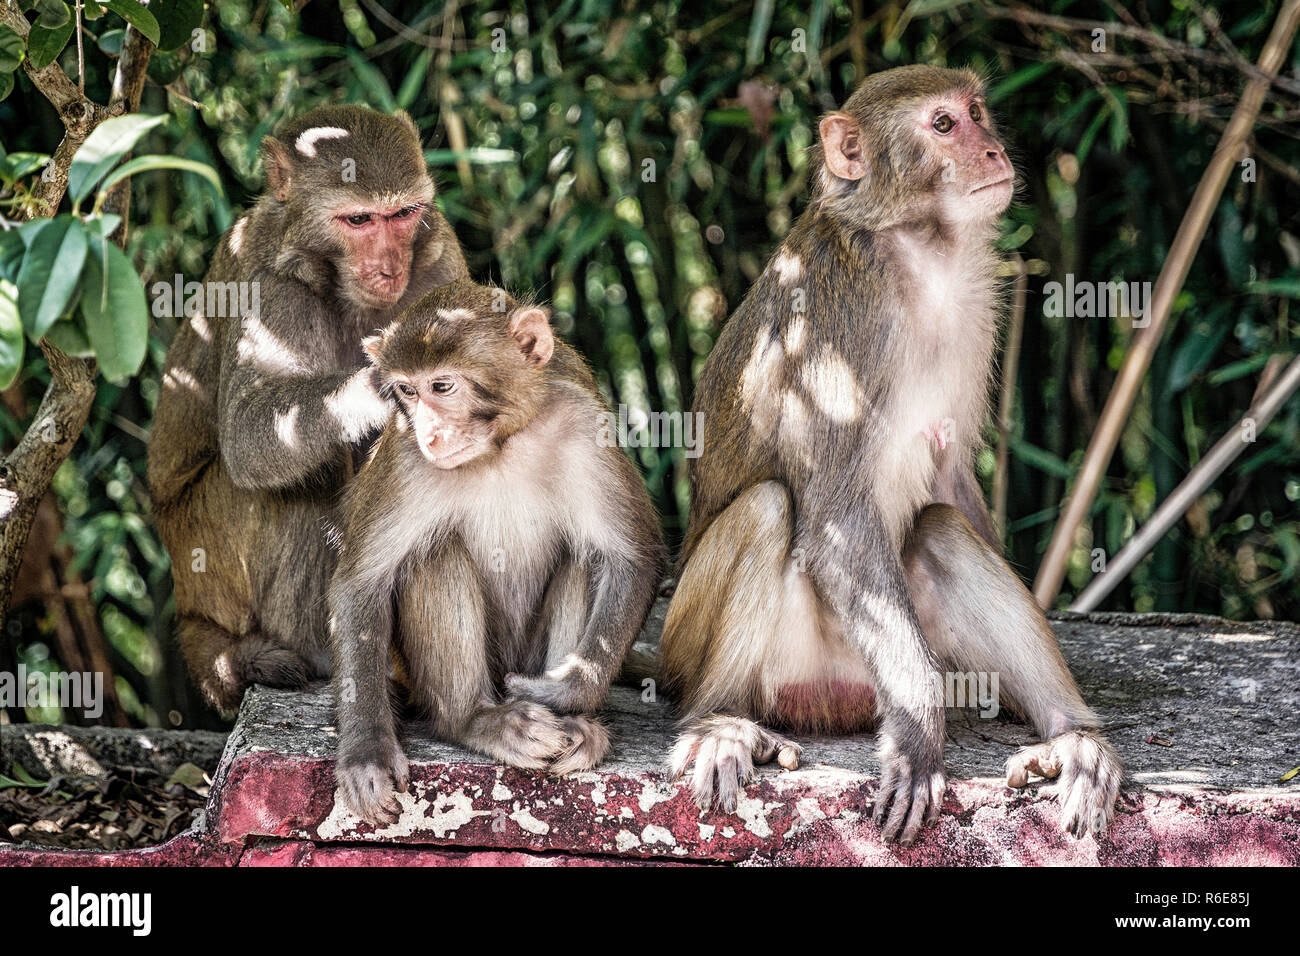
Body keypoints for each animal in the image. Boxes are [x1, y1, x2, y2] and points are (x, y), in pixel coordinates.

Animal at [147, 105, 468, 712]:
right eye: (359, 220)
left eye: (403, 214)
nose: (390, 269)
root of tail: (188, 606)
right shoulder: (271, 290)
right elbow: (250, 435)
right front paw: (379, 386)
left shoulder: (440, 257)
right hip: (206, 552)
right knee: (296, 480)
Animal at [329, 280, 664, 825]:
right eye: (407, 391)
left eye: (442, 386)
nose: (430, 433)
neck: (501, 445)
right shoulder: (405, 456)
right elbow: (360, 583)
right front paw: (366, 753)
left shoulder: (583, 422)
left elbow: (631, 559)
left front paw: (566, 691)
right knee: (434, 553)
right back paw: (477, 720)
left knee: (583, 558)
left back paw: (576, 725)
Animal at [660, 65, 1123, 844]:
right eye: (942, 126)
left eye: (976, 111)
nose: (994, 151)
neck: (914, 247)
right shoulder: (836, 323)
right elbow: (838, 519)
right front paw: (917, 734)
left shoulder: (977, 310)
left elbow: (951, 481)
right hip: (701, 648)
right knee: (767, 508)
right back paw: (717, 723)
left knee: (939, 529)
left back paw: (1071, 737)